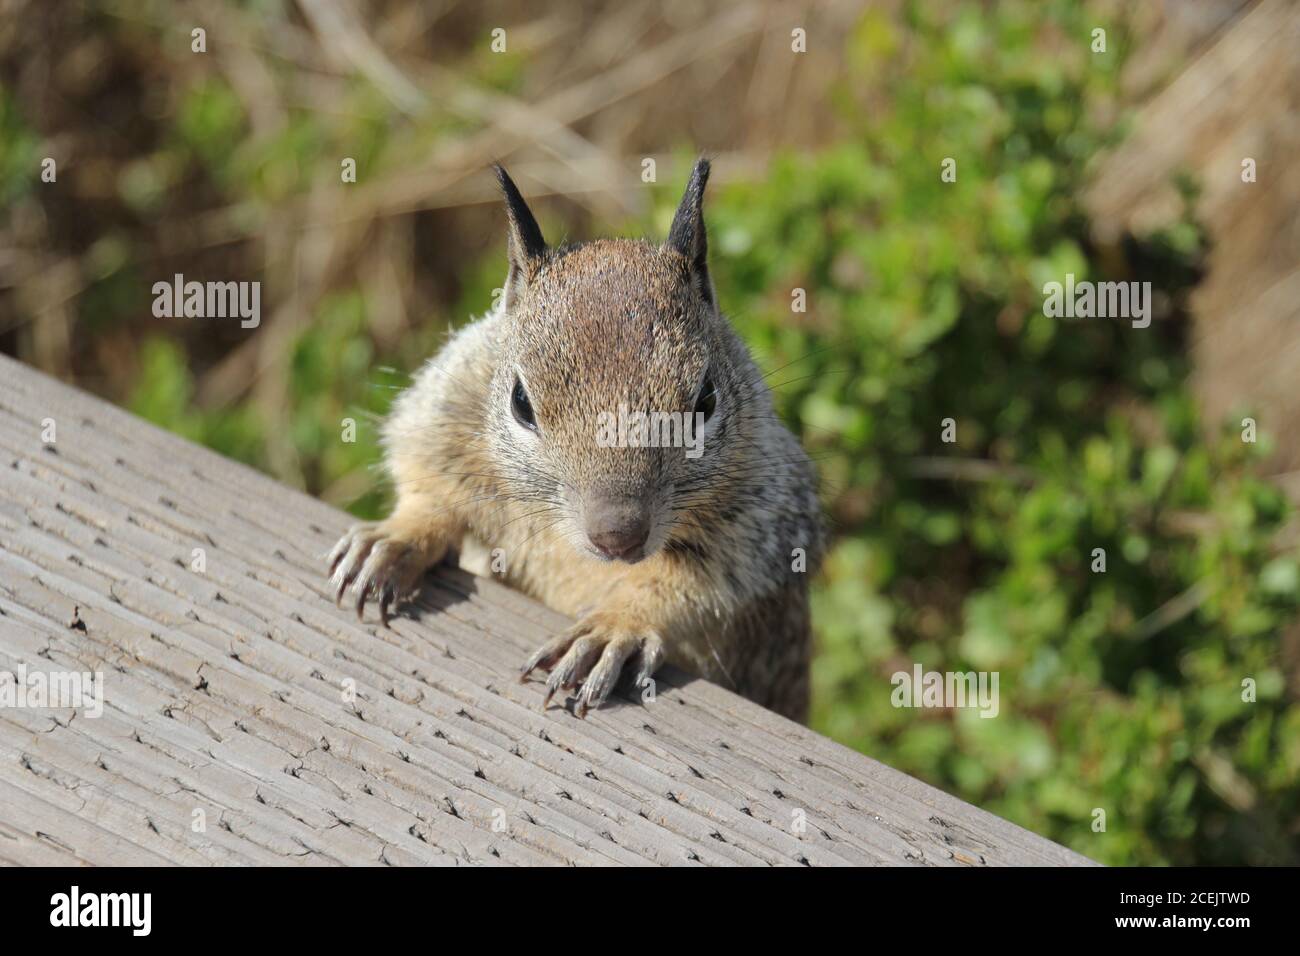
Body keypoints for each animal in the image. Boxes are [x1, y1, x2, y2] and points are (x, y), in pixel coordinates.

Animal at [327, 159, 823, 722]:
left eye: (706, 400)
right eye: (521, 402)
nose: (617, 536)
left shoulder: (763, 518)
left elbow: (692, 587)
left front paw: (611, 630)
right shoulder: (447, 410)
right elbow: (428, 484)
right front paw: (394, 540)